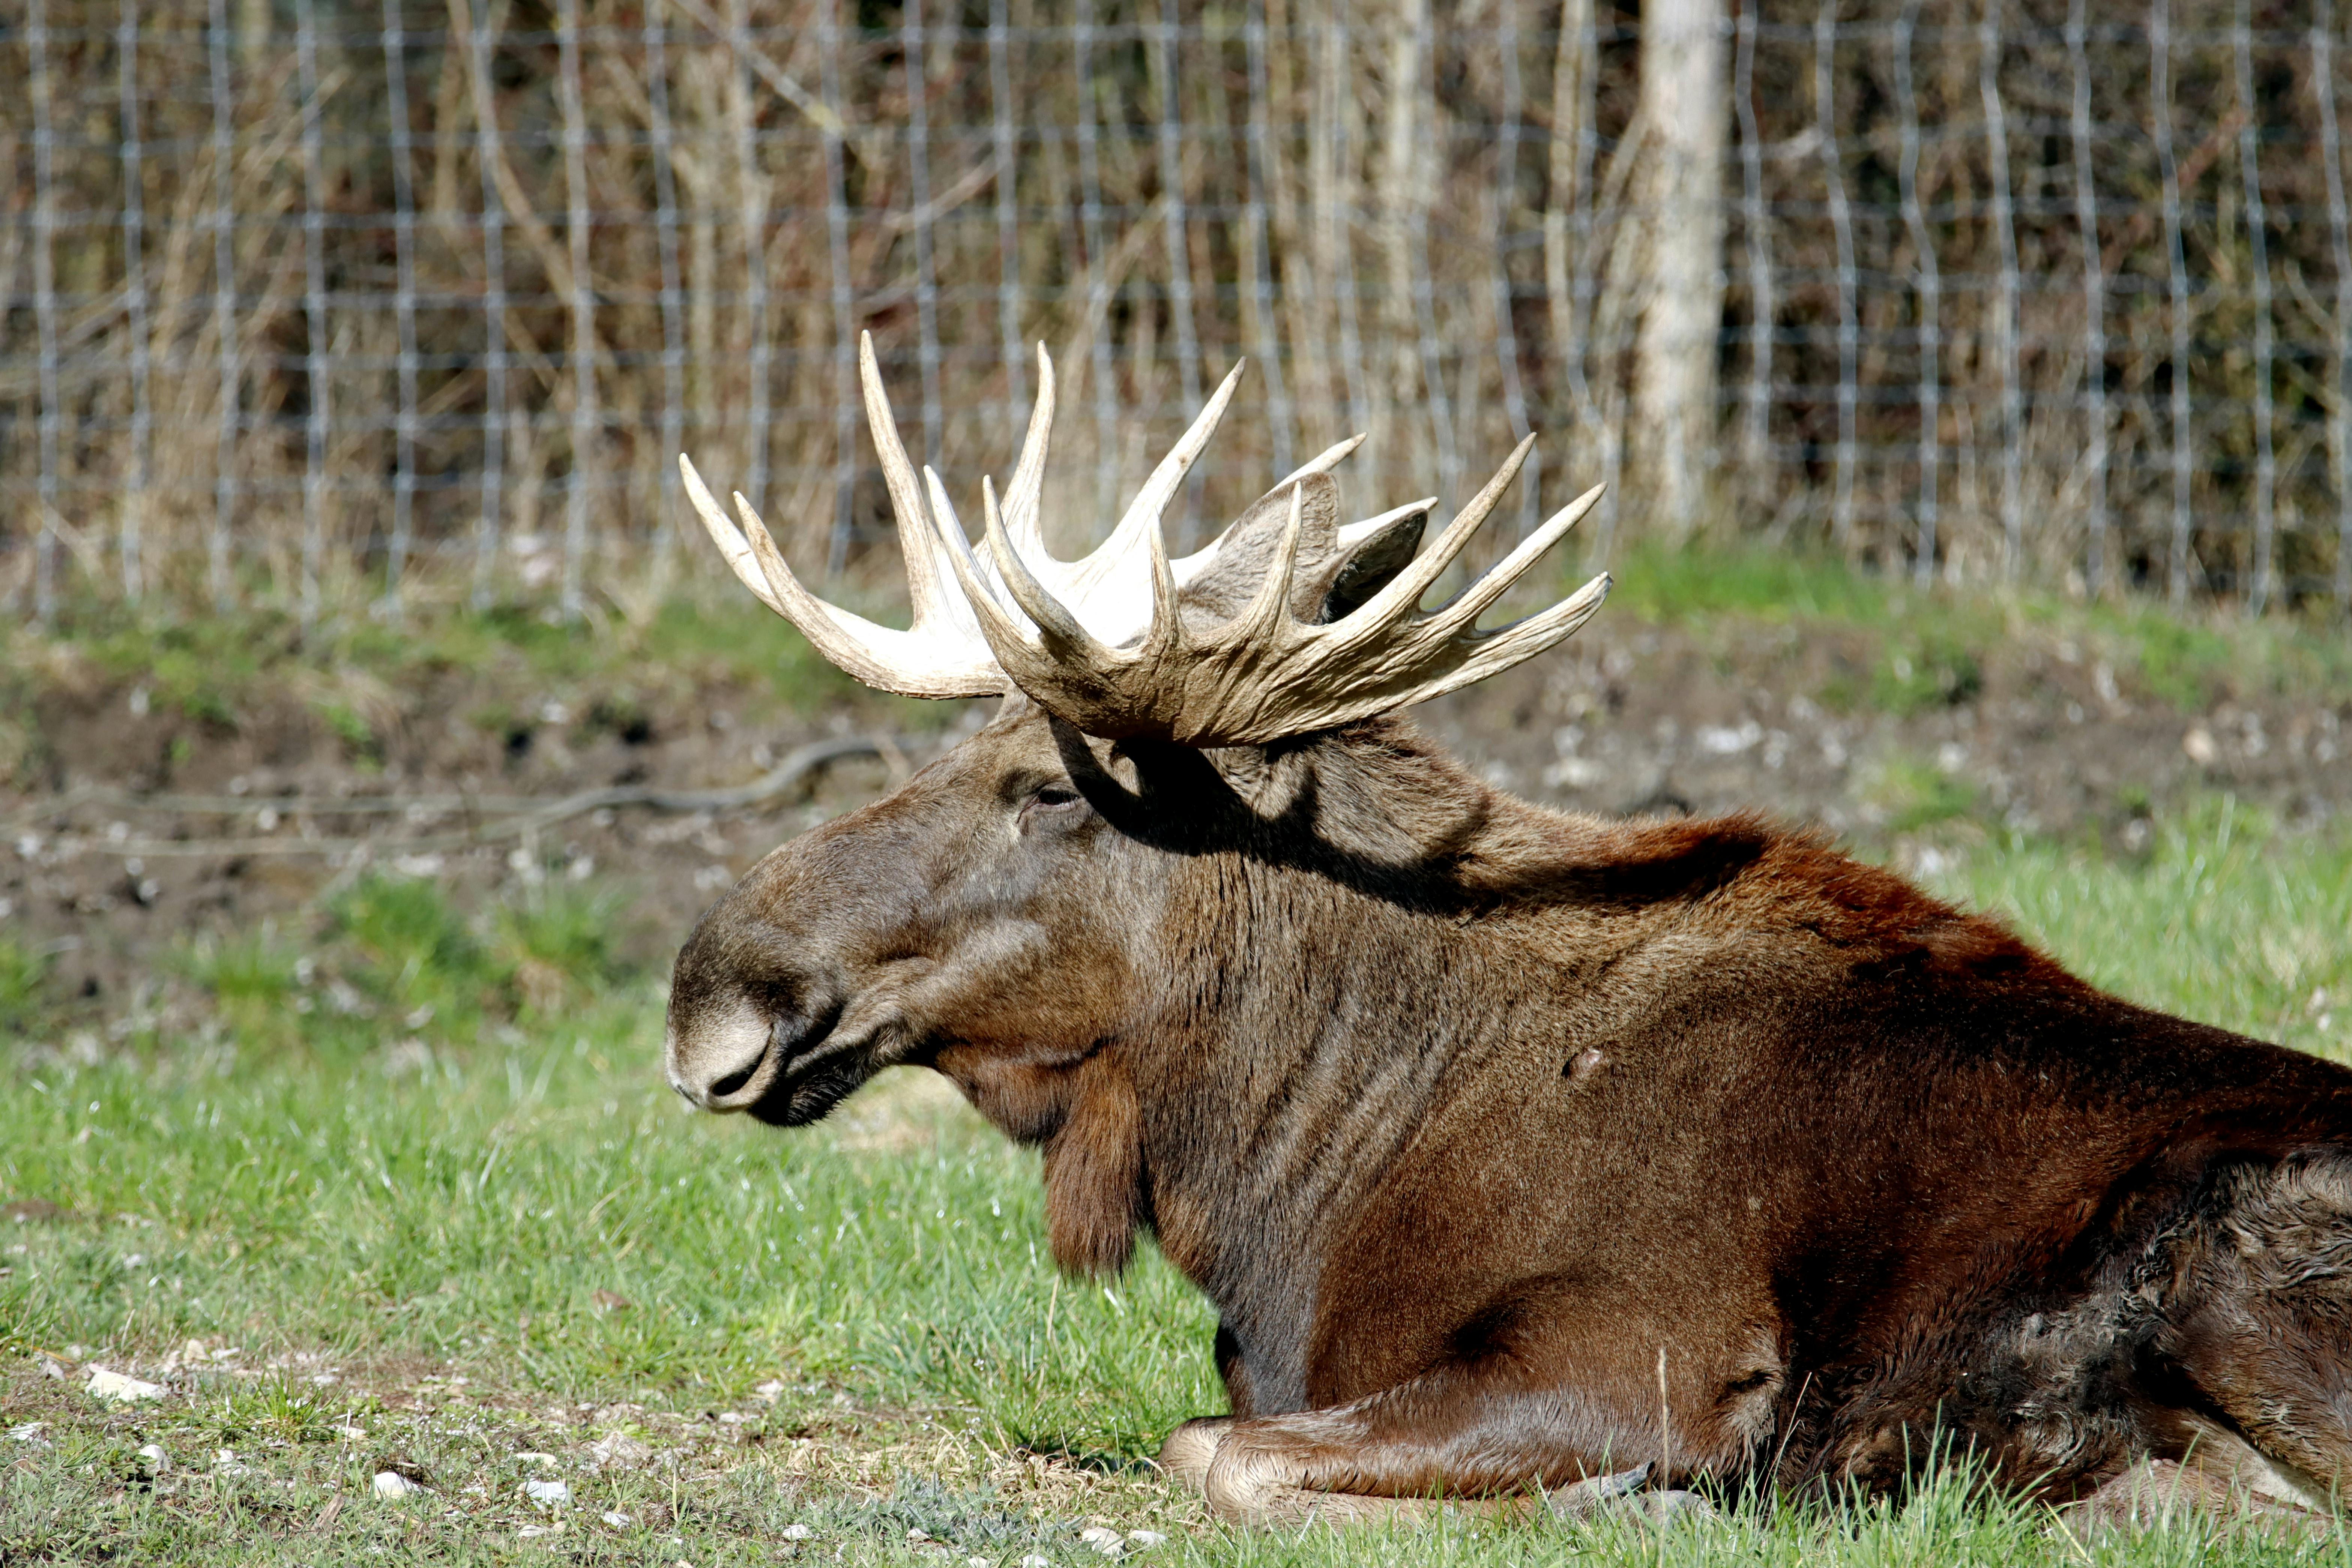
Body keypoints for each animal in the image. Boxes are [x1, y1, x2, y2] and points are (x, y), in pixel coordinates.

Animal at [663, 336, 2352, 1530]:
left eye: (1041, 790)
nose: (708, 989)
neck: (1286, 1165)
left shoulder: (1648, 1344)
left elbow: (1215, 1454)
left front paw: (1643, 1499)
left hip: (2219, 1248)